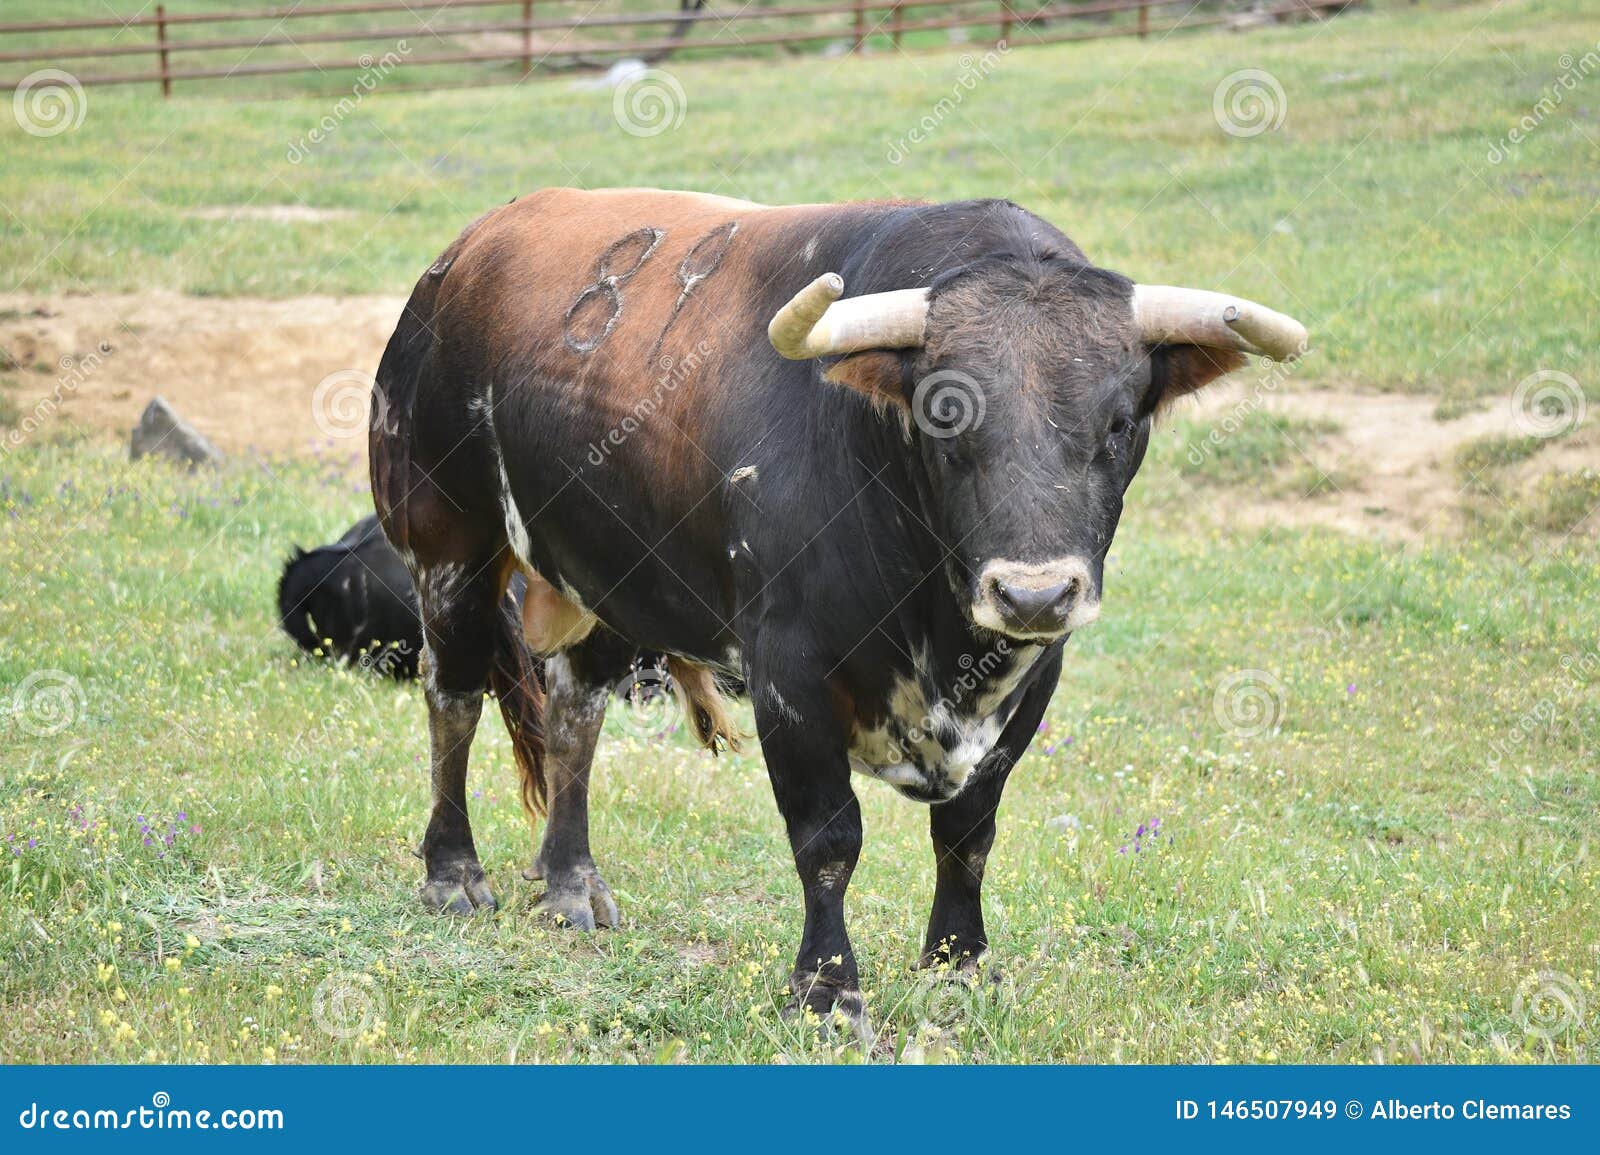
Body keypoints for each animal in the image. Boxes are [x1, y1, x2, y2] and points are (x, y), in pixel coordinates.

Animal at [368, 188, 1307, 1031]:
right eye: (943, 415)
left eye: (1119, 420)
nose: (1034, 591)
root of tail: (465, 251)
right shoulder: (788, 669)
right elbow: (828, 839)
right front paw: (827, 993)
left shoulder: (1036, 672)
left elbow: (967, 834)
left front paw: (958, 970)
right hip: (447, 542)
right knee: (453, 698)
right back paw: (453, 872)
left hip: (606, 580)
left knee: (574, 710)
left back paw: (570, 883)